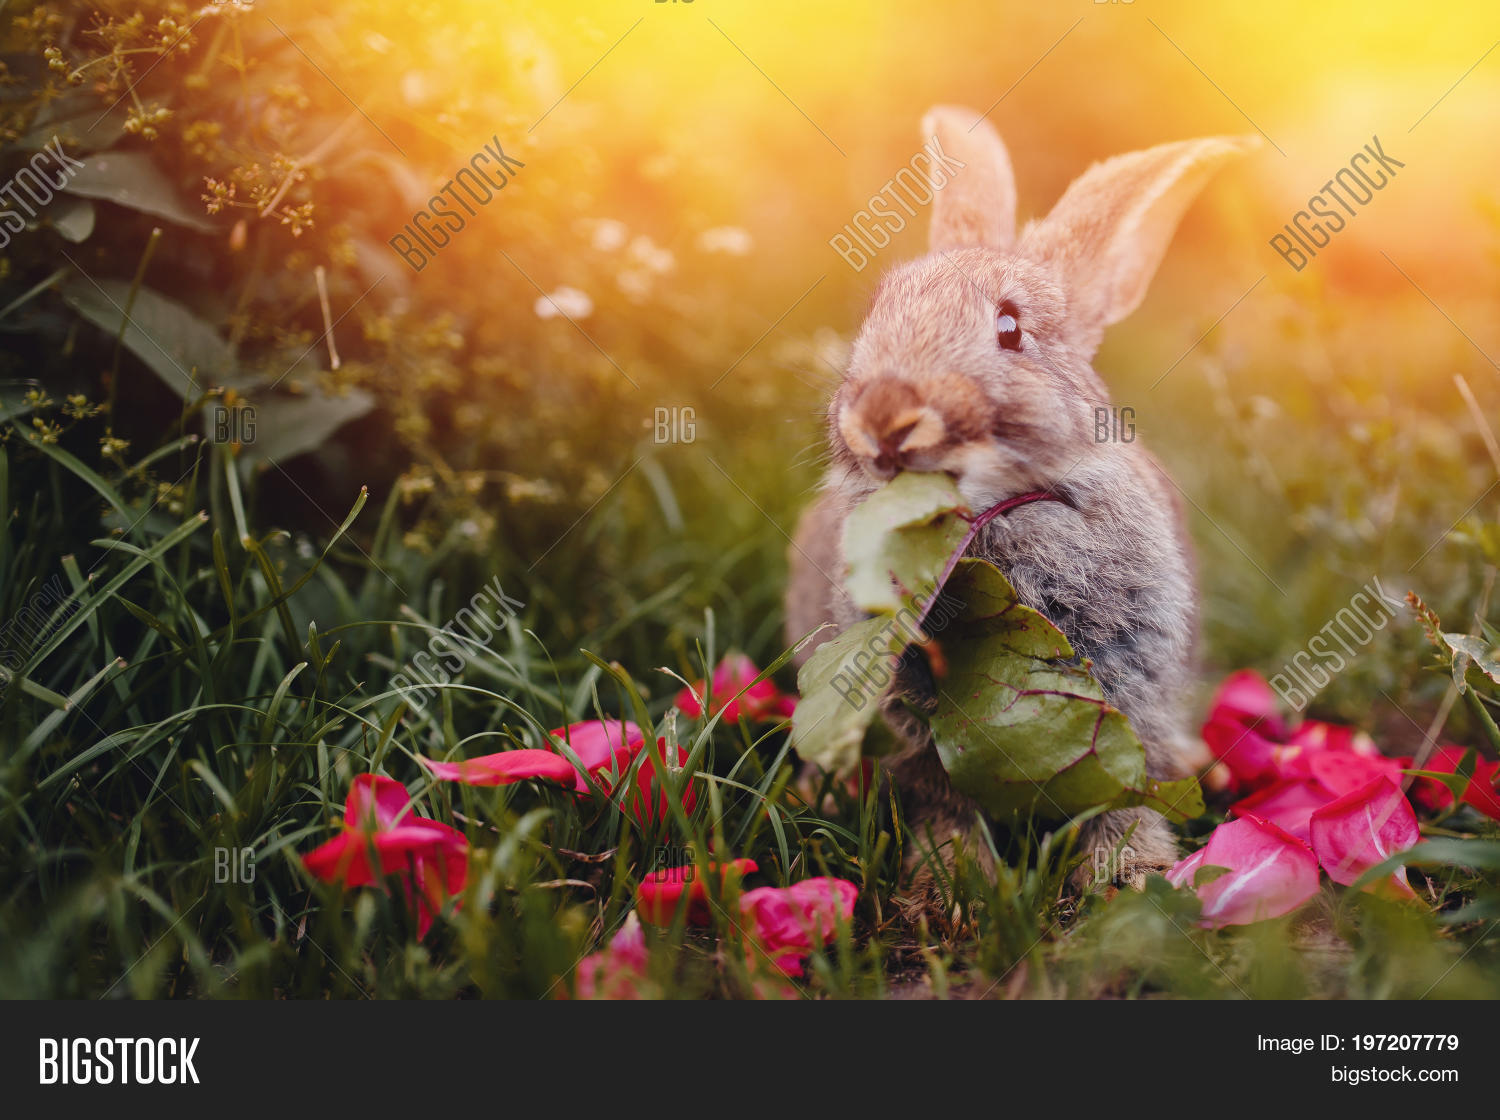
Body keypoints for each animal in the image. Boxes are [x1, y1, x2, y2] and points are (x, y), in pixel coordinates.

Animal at [785, 105, 1256, 899]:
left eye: (1010, 328)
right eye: (877, 314)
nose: (882, 420)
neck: (993, 516)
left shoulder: (1136, 685)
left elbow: (1129, 788)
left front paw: (1131, 876)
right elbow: (940, 799)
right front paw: (949, 889)